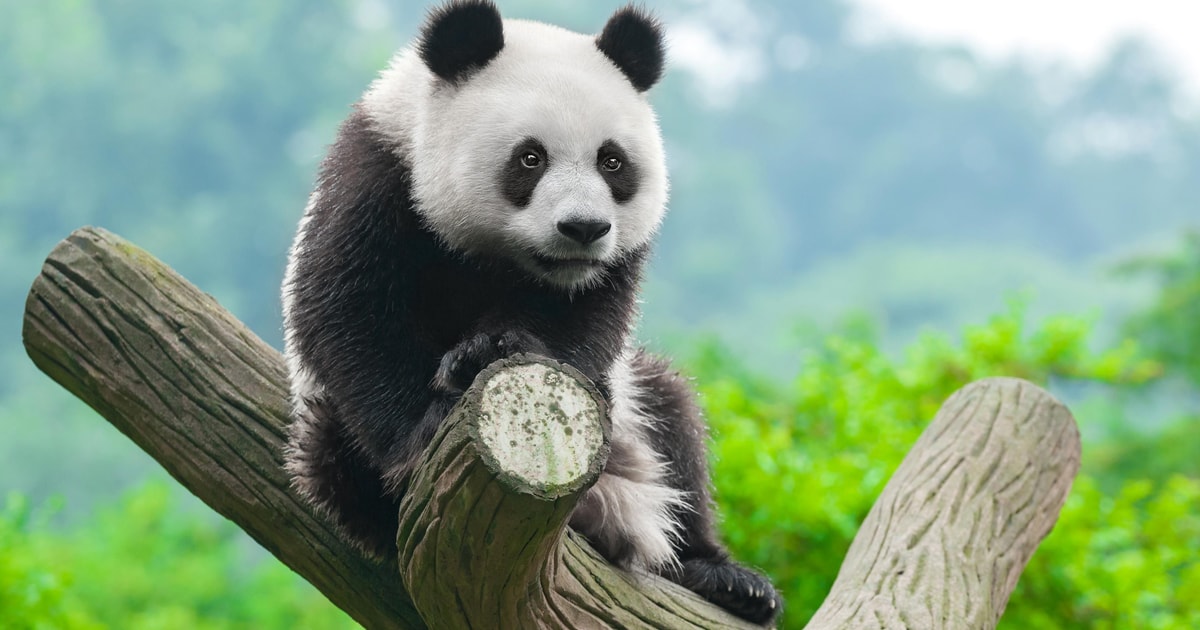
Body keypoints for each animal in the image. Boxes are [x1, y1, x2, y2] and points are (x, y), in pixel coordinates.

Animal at [281, 1, 780, 624]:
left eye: (612, 161)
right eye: (530, 158)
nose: (584, 228)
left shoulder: (605, 271)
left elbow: (584, 320)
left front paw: (492, 348)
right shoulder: (378, 177)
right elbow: (349, 312)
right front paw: (426, 425)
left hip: (637, 416)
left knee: (675, 422)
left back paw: (727, 579)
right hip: (324, 428)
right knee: (331, 456)